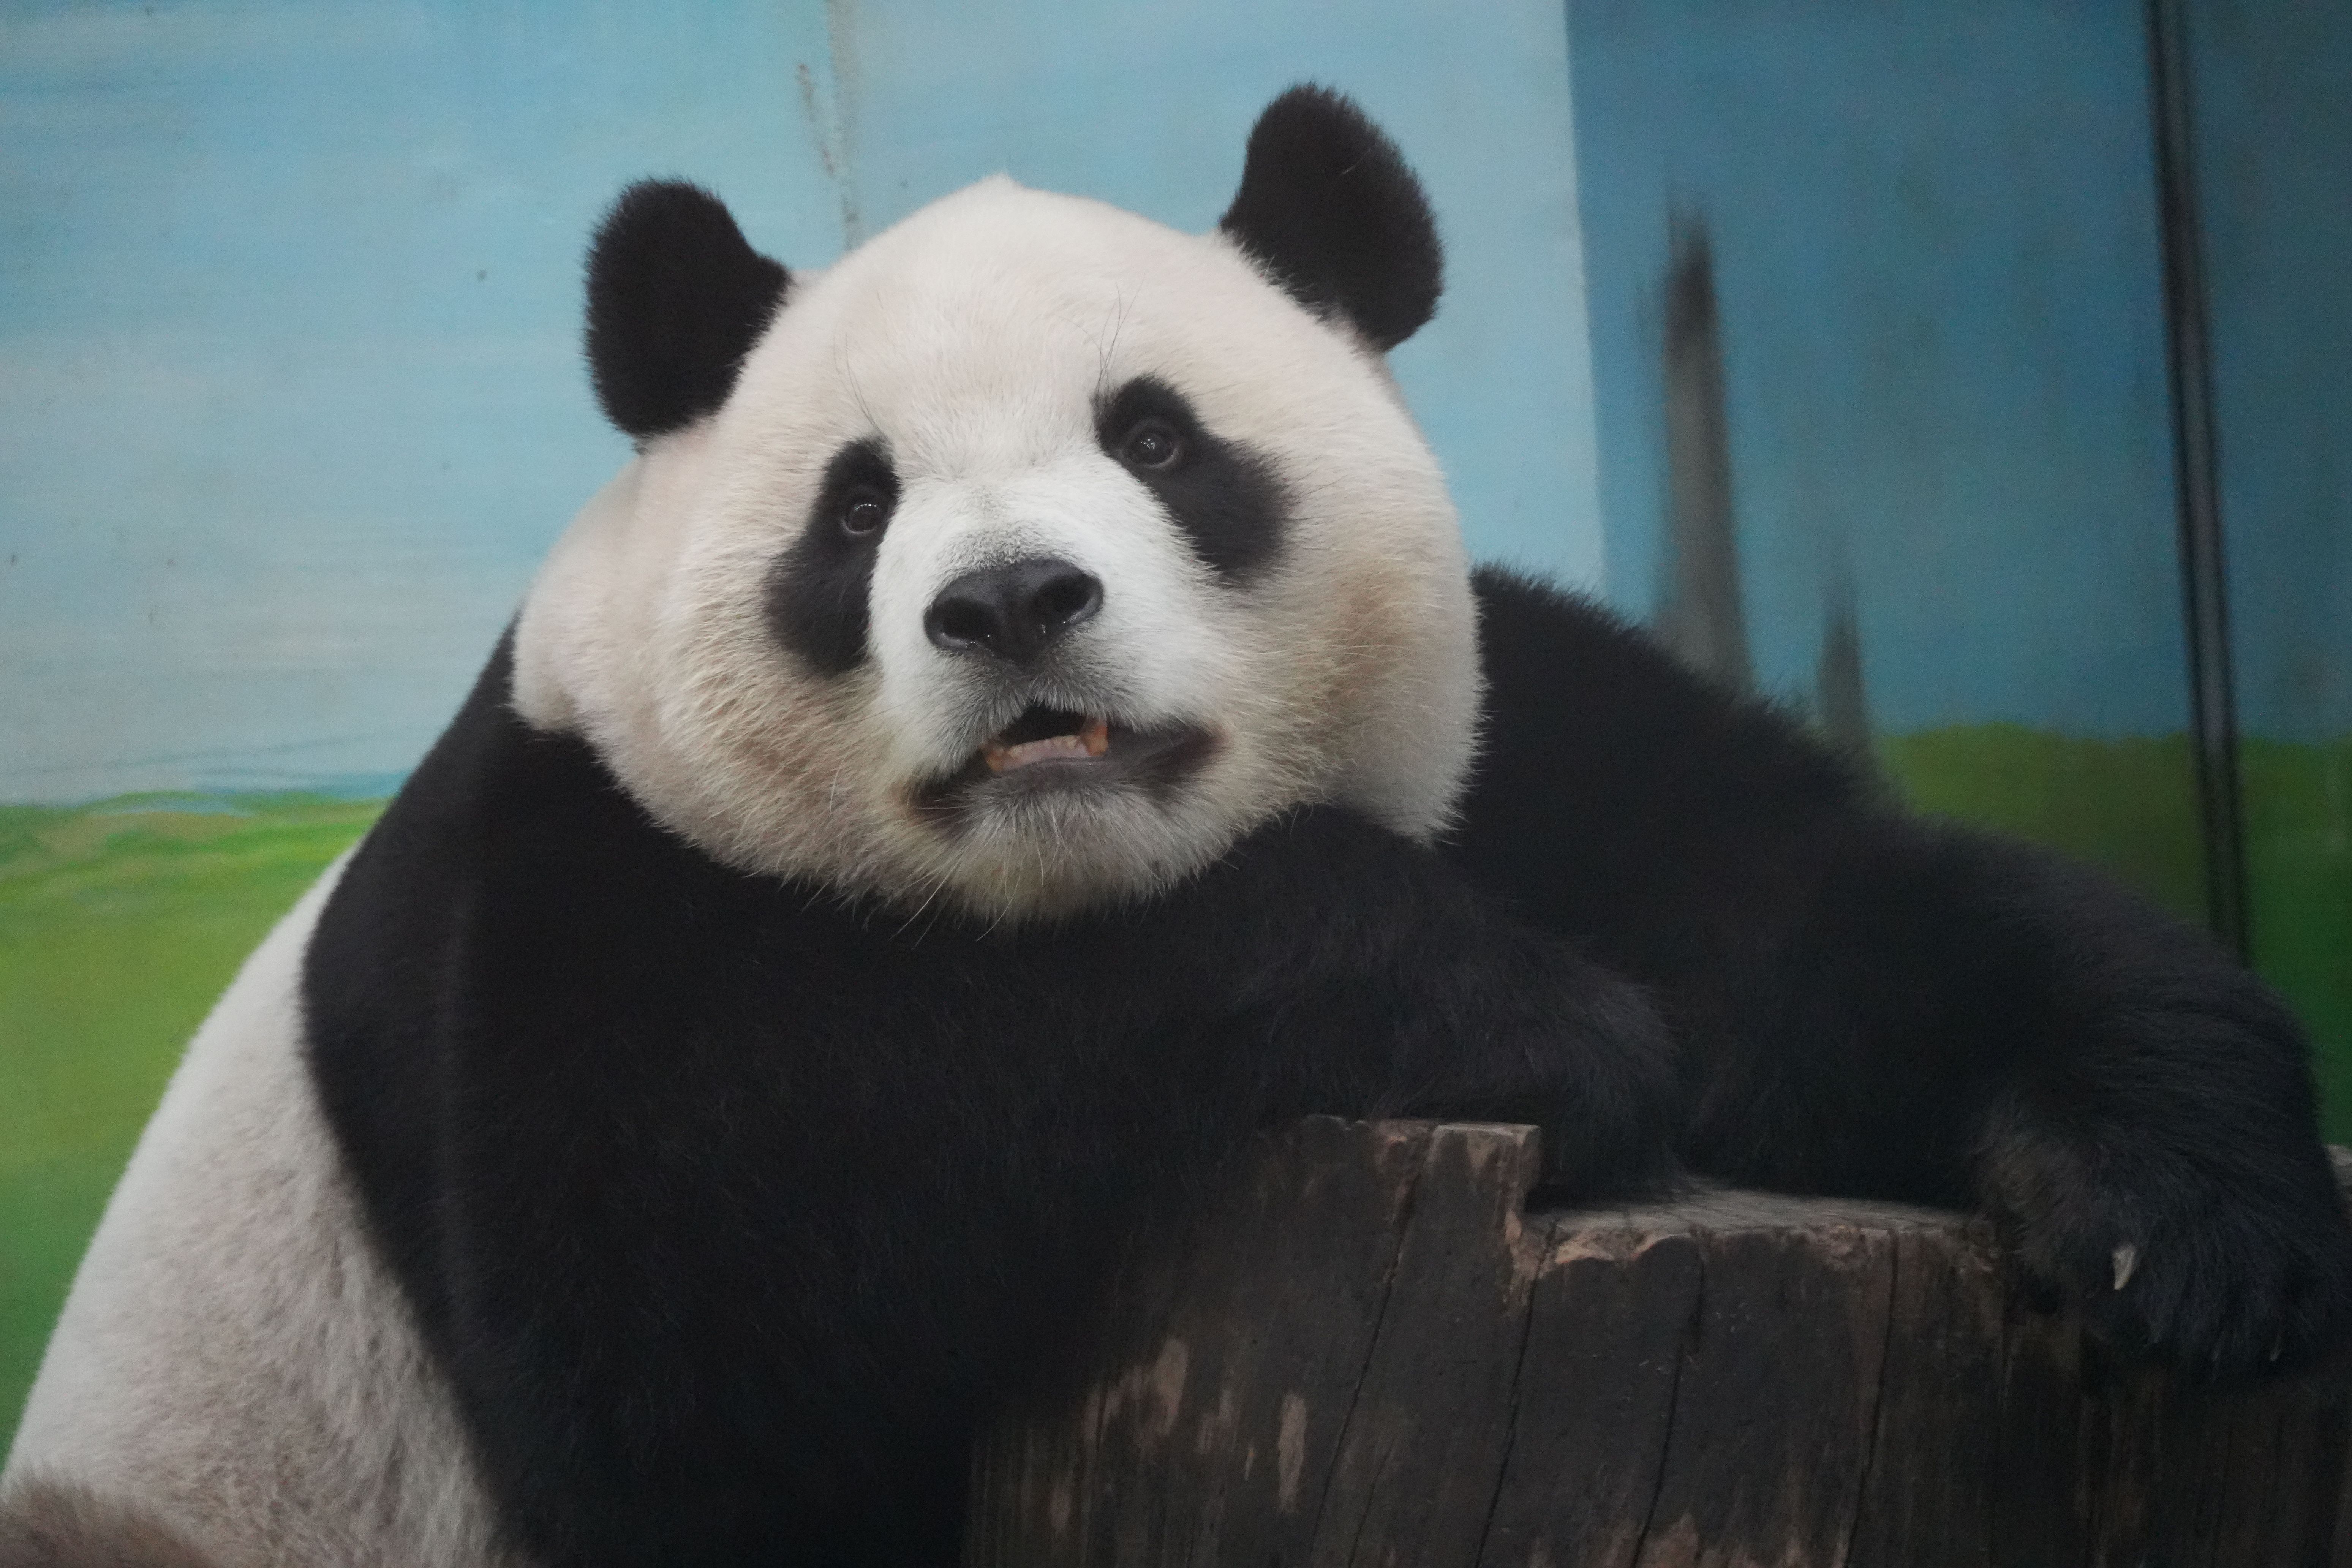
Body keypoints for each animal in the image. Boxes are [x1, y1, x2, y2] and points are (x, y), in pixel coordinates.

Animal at [5, 86, 2348, 1568]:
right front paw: (1511, 1013)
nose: (1010, 602)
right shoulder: (570, 874)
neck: (1085, 868)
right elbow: (674, 1330)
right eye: (854, 504)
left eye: (1153, 437)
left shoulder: (1517, 738)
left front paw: (2180, 1200)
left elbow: (1813, 911)